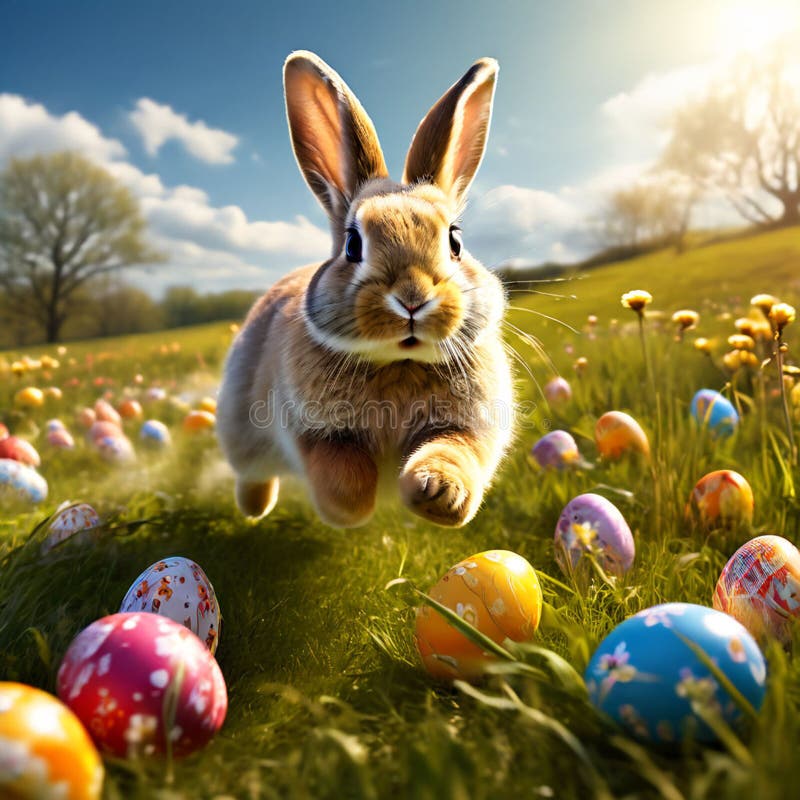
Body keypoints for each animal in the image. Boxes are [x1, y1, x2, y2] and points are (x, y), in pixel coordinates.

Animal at [216, 50, 513, 528]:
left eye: (455, 241)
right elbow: (344, 477)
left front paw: (435, 493)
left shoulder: (470, 427)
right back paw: (254, 509)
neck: (399, 362)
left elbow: (453, 453)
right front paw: (358, 510)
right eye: (353, 244)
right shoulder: (314, 431)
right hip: (240, 426)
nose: (412, 298)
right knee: (253, 473)